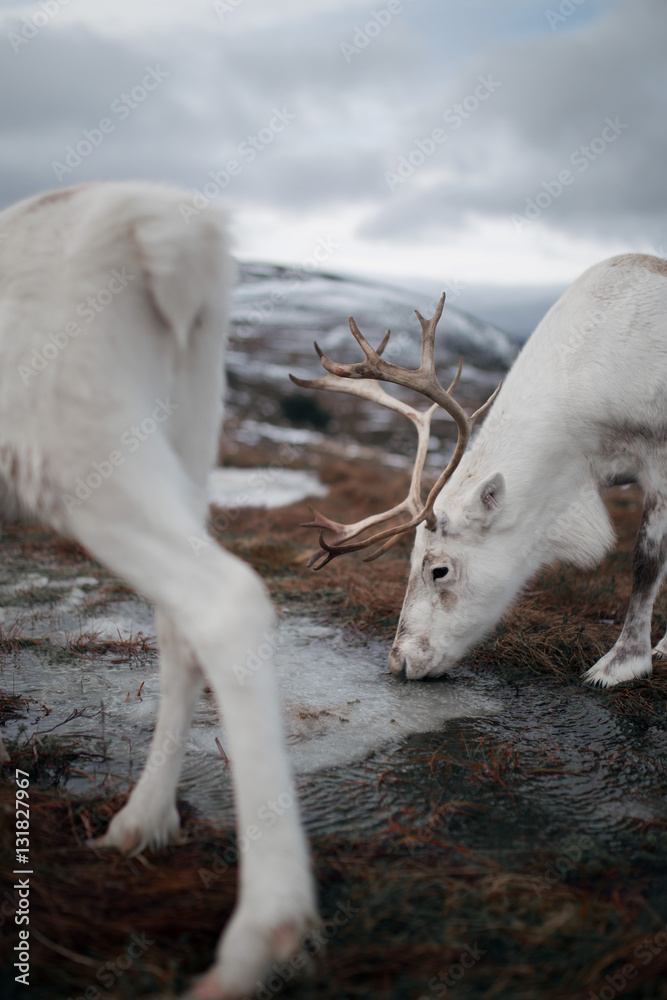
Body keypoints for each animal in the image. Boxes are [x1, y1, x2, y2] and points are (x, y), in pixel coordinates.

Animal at [0, 181, 316, 999]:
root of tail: (165, 225)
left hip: (77, 447)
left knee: (223, 600)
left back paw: (254, 941)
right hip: (185, 431)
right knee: (180, 626)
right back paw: (142, 823)